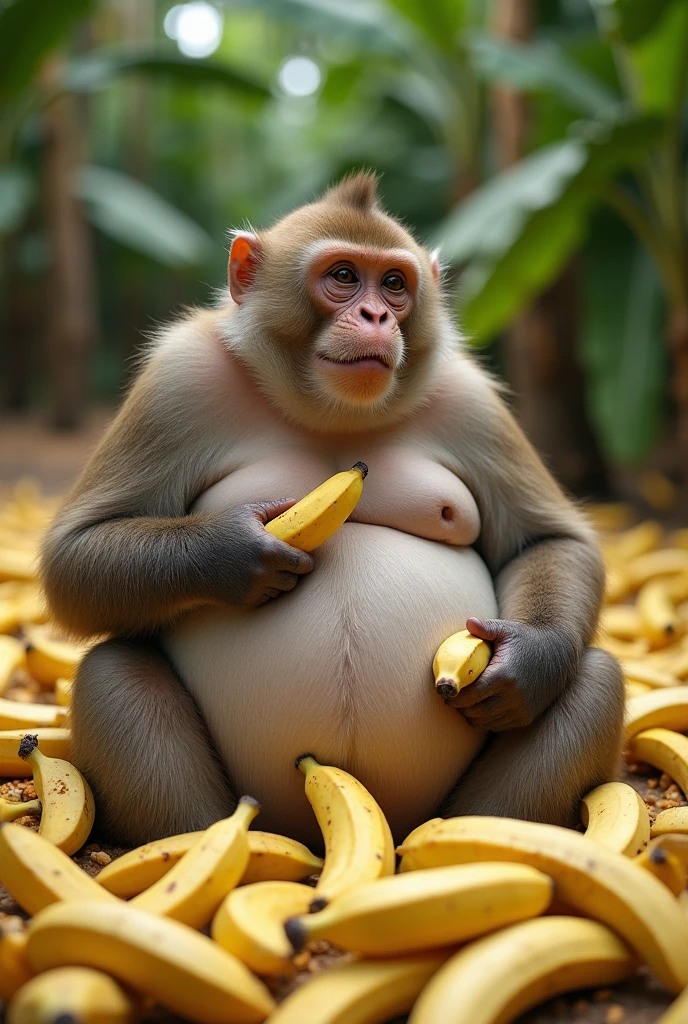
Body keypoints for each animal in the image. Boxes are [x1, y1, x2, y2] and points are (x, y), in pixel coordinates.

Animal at [40, 173, 624, 849]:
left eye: (394, 284)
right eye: (343, 276)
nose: (376, 315)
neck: (331, 412)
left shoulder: (471, 398)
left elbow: (545, 541)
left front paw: (524, 660)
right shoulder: (177, 380)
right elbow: (77, 551)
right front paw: (233, 553)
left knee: (594, 678)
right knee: (115, 668)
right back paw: (211, 846)